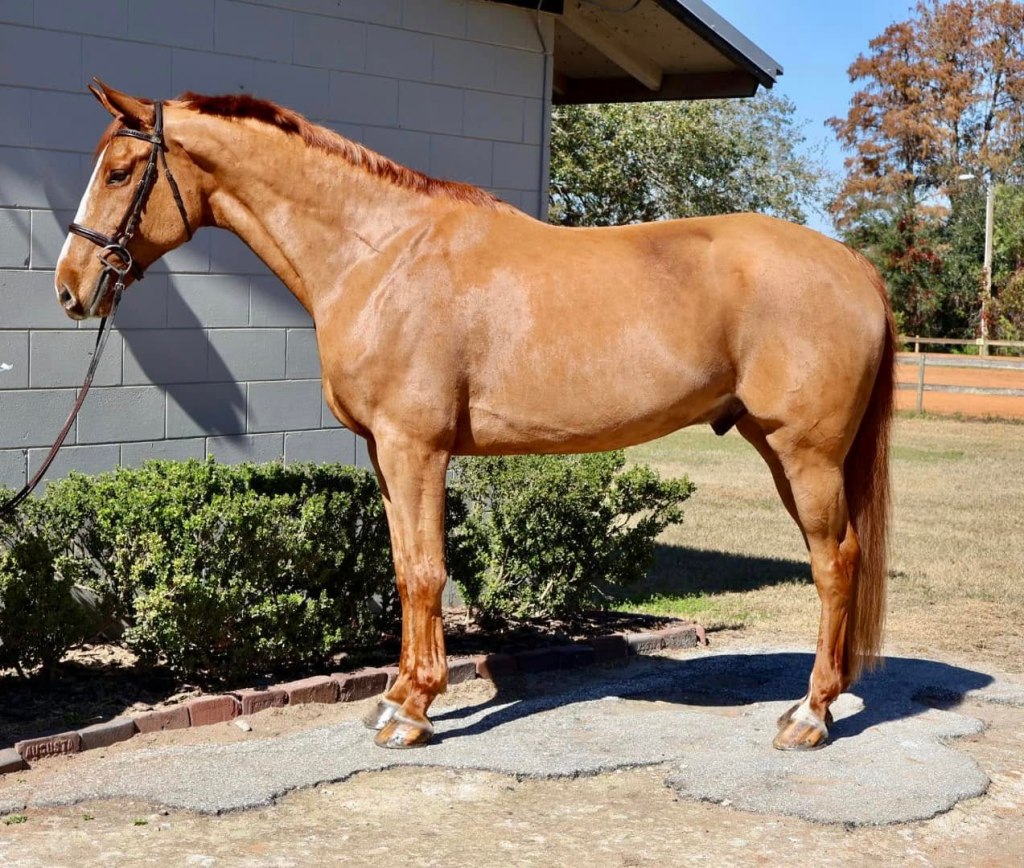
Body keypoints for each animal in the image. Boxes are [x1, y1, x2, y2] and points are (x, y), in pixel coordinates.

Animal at [54, 80, 895, 752]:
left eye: (121, 172)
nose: (71, 287)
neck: (379, 254)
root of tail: (853, 265)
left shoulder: (416, 448)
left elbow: (427, 572)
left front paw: (412, 714)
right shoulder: (384, 455)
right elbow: (402, 570)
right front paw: (396, 696)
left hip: (805, 454)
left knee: (834, 563)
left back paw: (810, 716)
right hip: (784, 451)